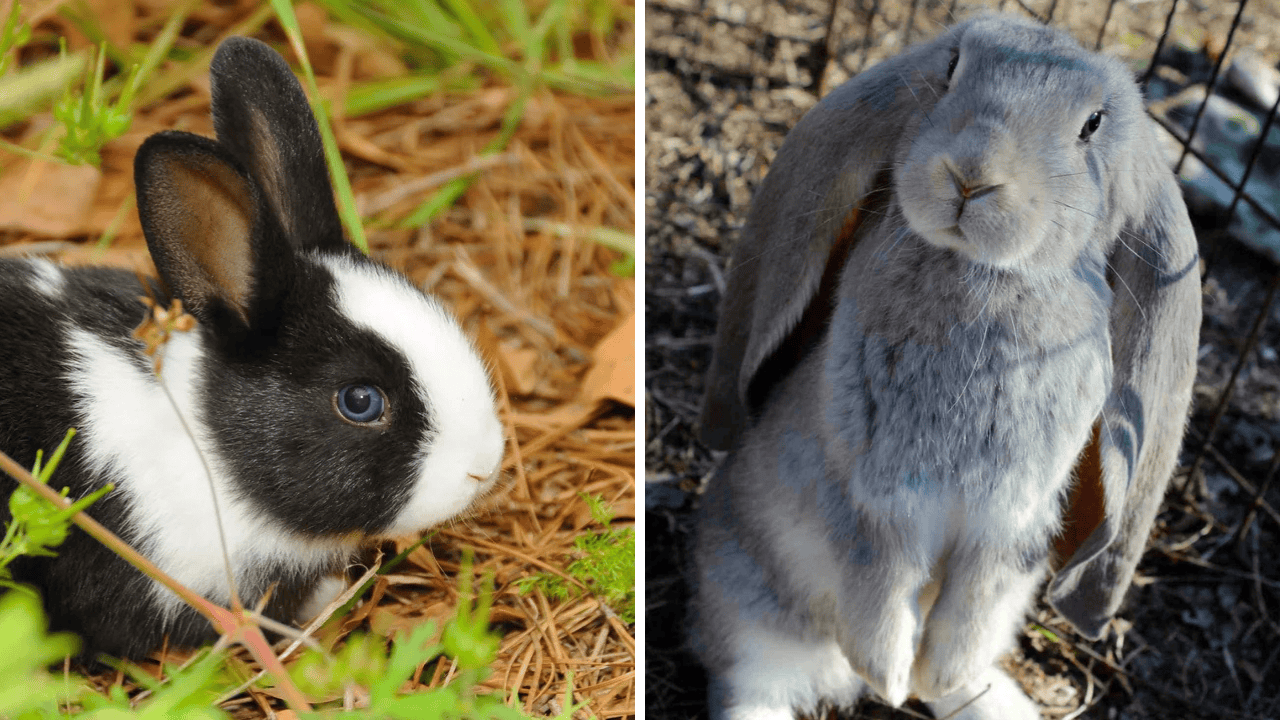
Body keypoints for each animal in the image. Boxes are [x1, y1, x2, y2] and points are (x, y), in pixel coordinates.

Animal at [692, 14, 1200, 720]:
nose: (972, 174)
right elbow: (883, 579)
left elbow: (971, 601)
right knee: (753, 685)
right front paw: (890, 675)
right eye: (952, 68)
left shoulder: (1009, 522)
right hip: (747, 602)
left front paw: (929, 675)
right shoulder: (882, 503)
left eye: (1093, 124)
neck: (980, 274)